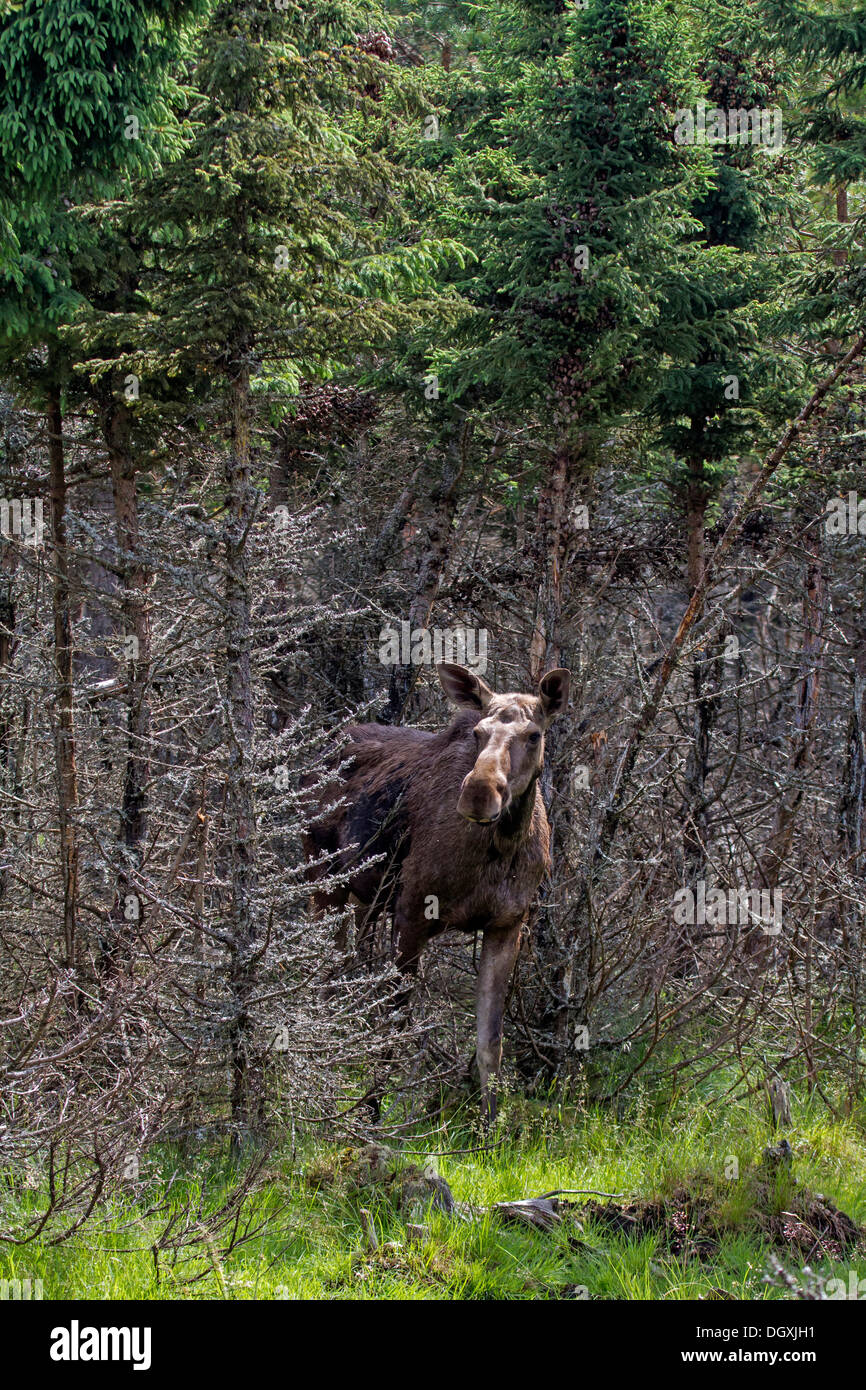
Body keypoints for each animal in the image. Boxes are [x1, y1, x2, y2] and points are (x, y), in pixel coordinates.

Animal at [303, 661, 570, 1126]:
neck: (500, 847)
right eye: (478, 732)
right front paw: (370, 1111)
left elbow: (490, 1042)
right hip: (322, 882)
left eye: (534, 735)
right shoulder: (411, 915)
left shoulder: (507, 927)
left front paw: (490, 1126)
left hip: (360, 899)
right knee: (318, 977)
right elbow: (394, 1025)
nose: (479, 793)